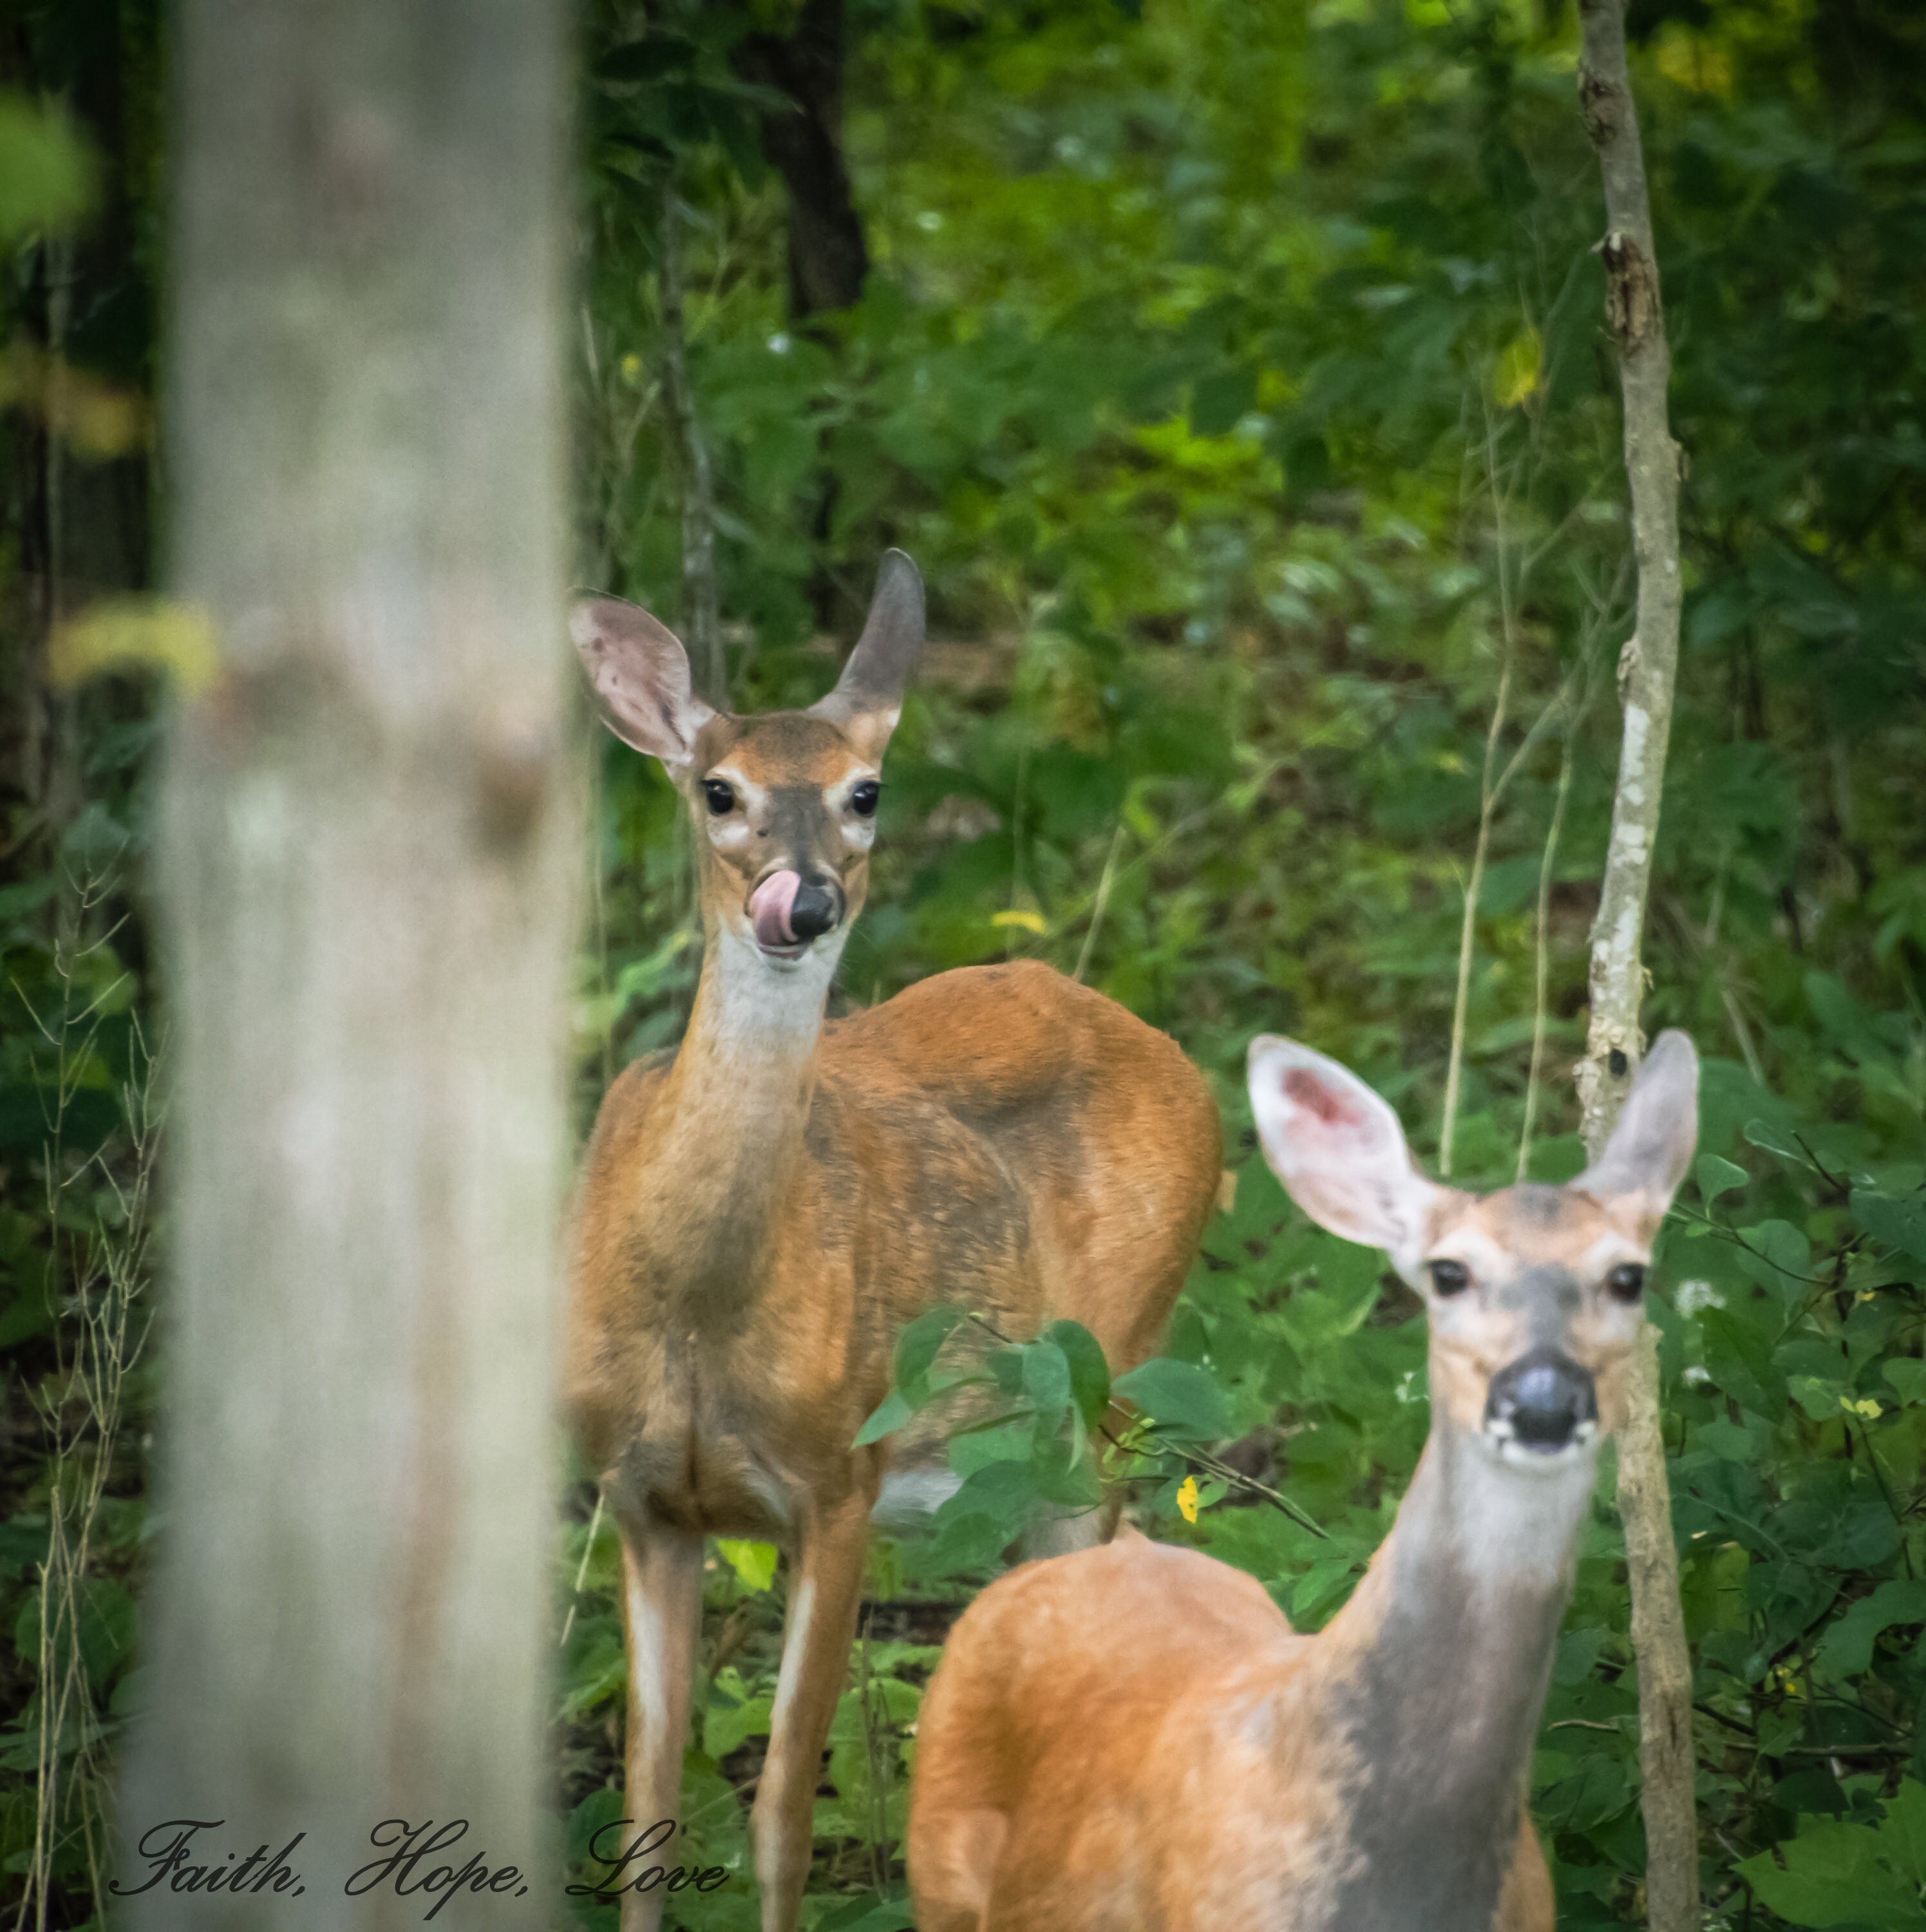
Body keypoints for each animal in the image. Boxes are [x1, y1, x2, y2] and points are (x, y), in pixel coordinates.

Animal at [565, 551, 1223, 1932]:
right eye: (718, 789)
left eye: (864, 790)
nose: (805, 900)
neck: (698, 1305)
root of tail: (1180, 1062)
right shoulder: (639, 1497)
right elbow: (649, 1809)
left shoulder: (840, 1480)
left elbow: (778, 1817)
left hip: (1099, 1398)